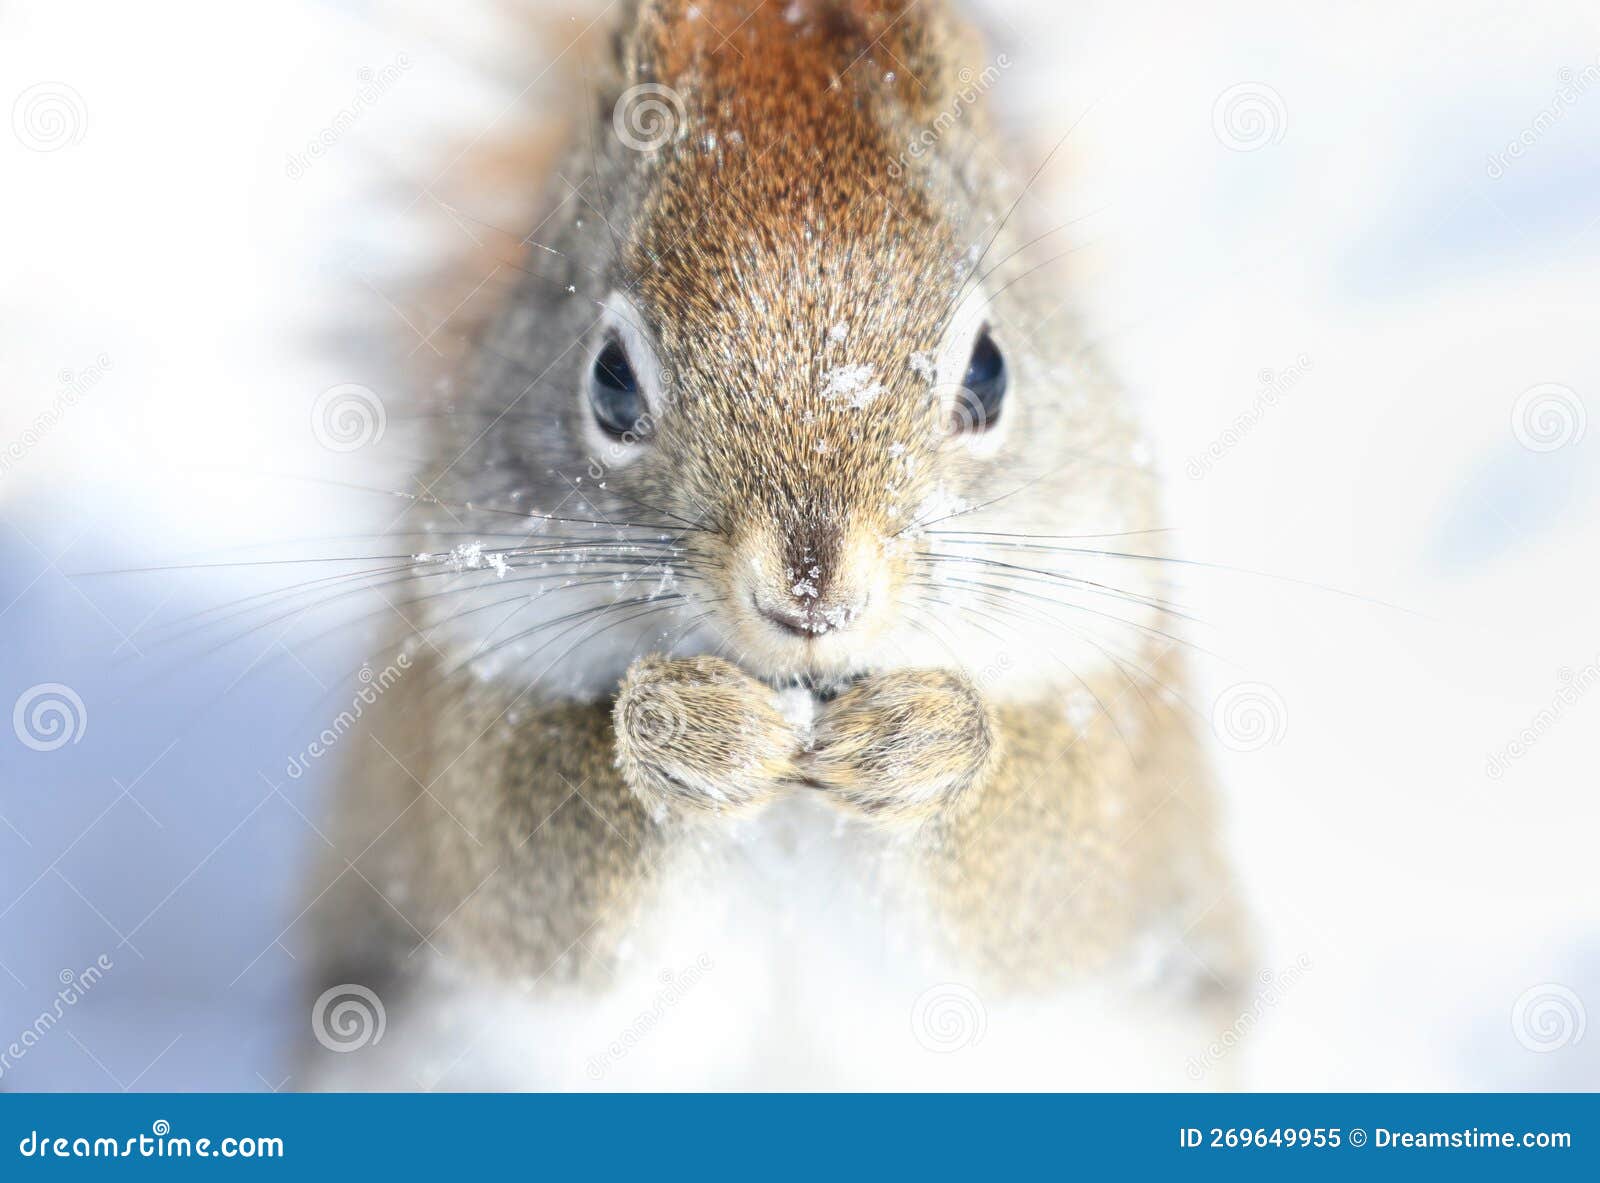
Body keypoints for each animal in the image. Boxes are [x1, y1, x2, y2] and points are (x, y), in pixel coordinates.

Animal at [302, 0, 1251, 1090]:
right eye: (609, 380)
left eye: (990, 371)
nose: (811, 591)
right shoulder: (459, 705)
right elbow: (527, 875)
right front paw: (689, 729)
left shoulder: (1115, 730)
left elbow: (1046, 882)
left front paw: (924, 740)